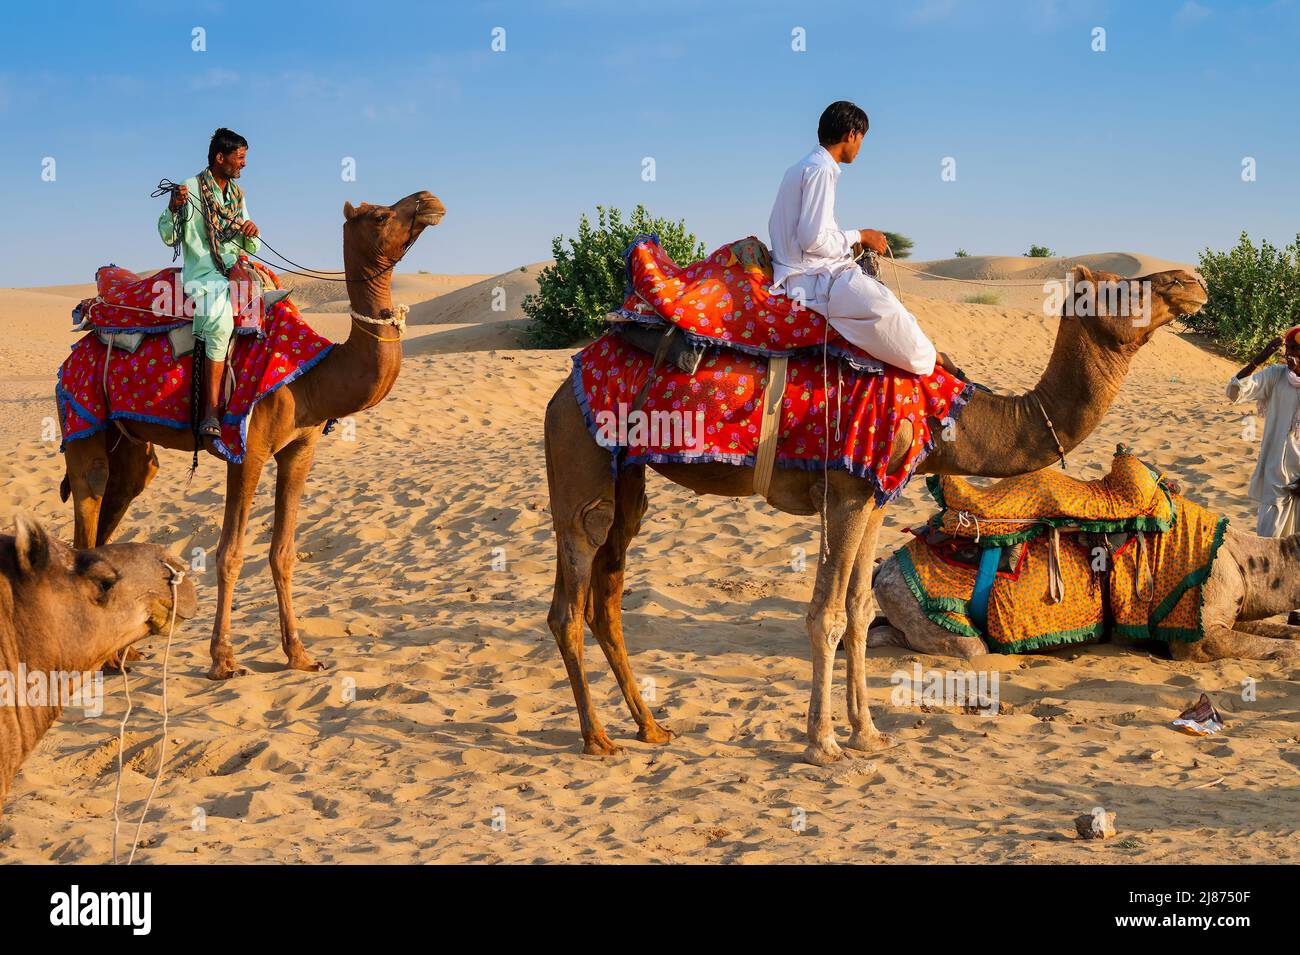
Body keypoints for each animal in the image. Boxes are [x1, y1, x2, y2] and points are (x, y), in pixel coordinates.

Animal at [60, 191, 444, 679]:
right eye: (379, 215)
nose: (429, 200)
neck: (312, 376)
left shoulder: (300, 449)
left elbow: (283, 553)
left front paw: (299, 654)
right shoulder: (248, 449)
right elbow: (230, 553)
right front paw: (223, 660)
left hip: (129, 444)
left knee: (121, 495)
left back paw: (118, 657)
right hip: (81, 415)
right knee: (89, 497)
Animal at [543, 265, 1208, 765]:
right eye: (1121, 285)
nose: (1191, 281)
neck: (949, 415)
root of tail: (563, 387)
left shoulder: (877, 498)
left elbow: (861, 612)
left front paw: (867, 733)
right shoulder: (846, 493)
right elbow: (827, 615)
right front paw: (823, 744)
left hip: (626, 478)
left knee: (605, 593)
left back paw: (651, 727)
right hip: (581, 466)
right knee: (571, 596)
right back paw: (597, 738)